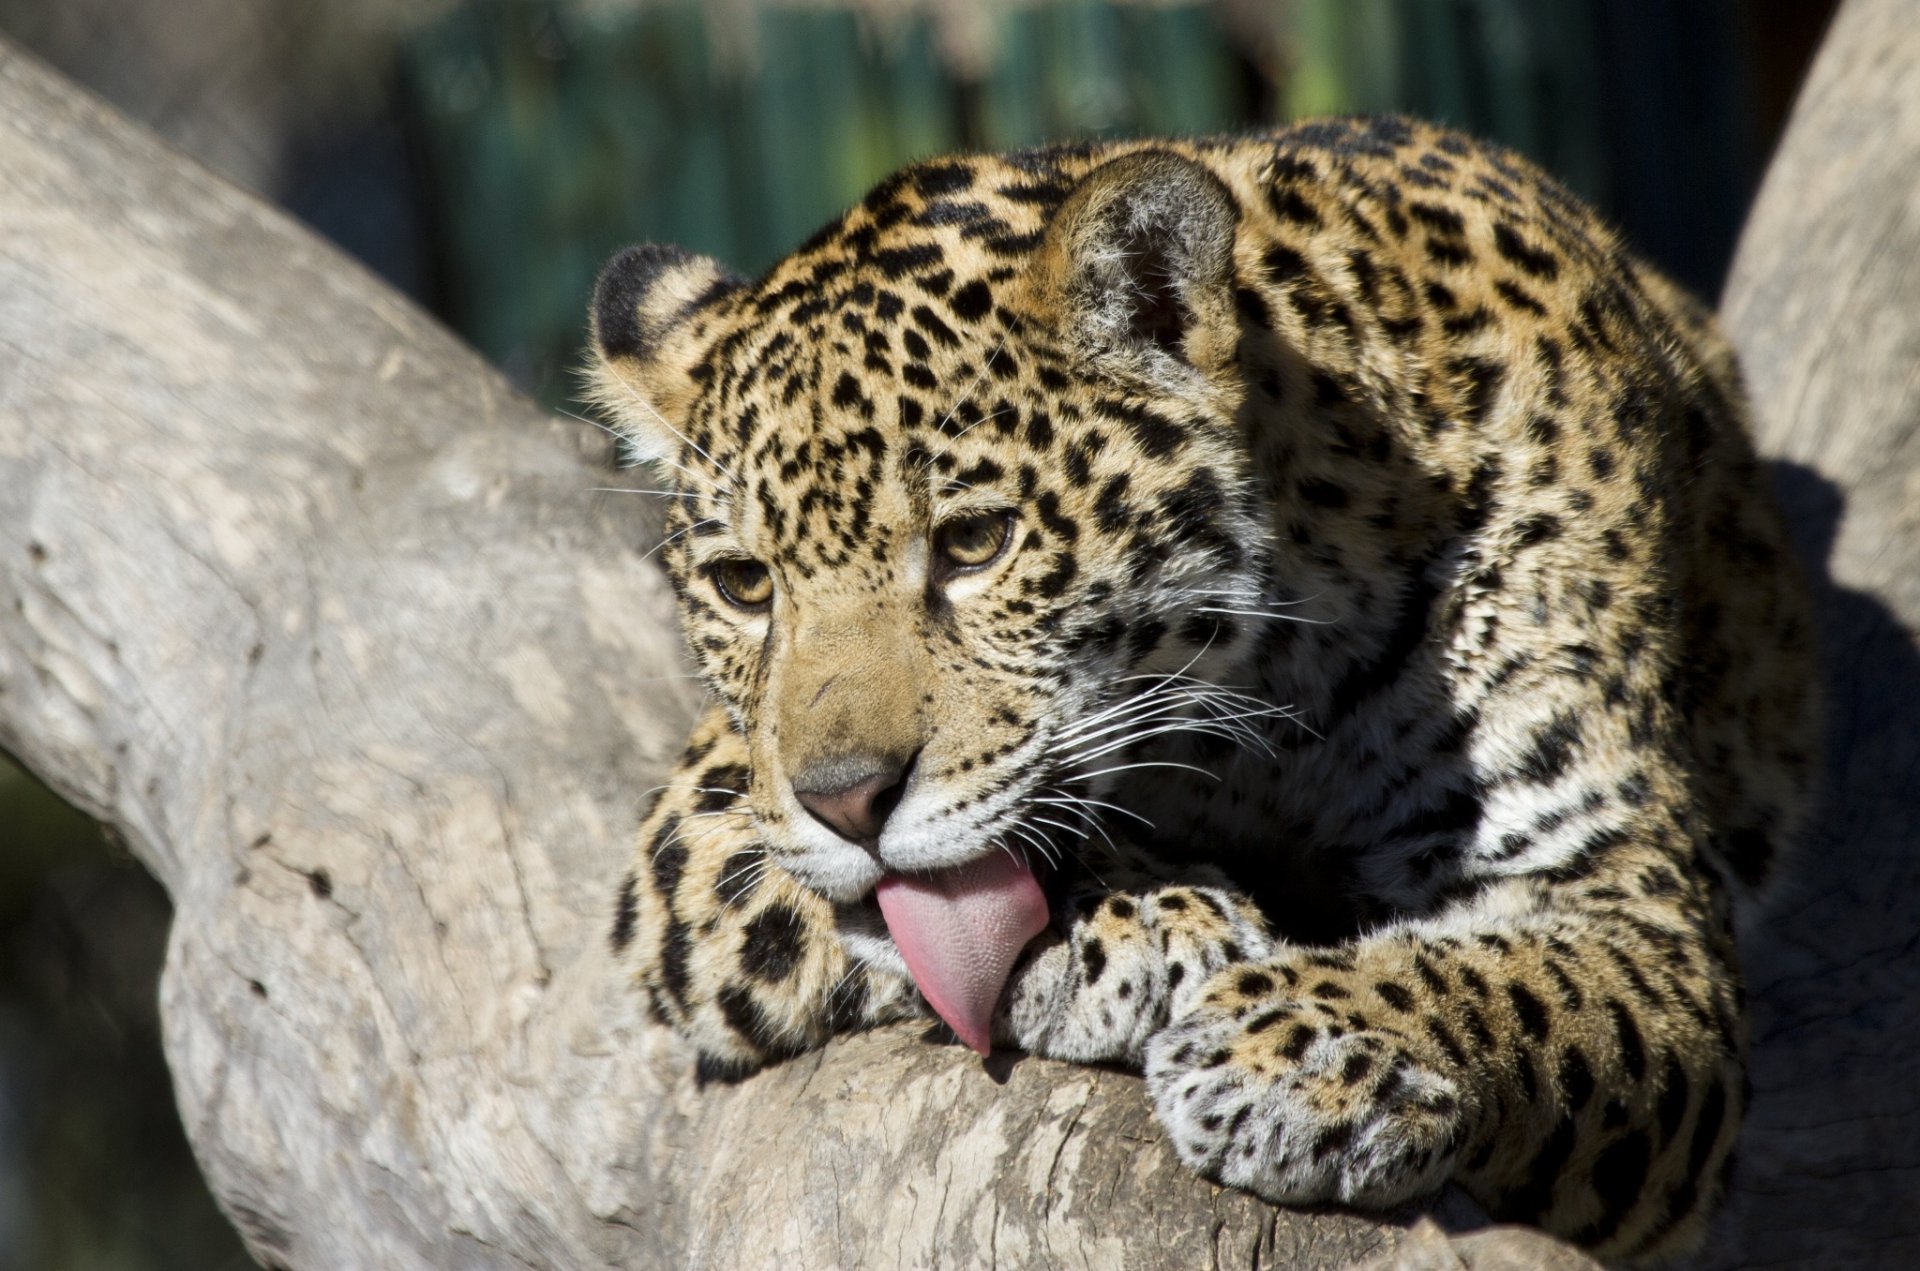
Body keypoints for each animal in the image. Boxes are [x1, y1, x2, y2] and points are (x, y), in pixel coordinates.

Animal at [585, 115, 1818, 1262]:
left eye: (977, 541)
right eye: (746, 584)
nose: (847, 800)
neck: (1262, 713)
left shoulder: (1633, 902)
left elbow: (1529, 986)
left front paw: (1309, 1045)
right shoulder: (703, 819)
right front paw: (1133, 917)